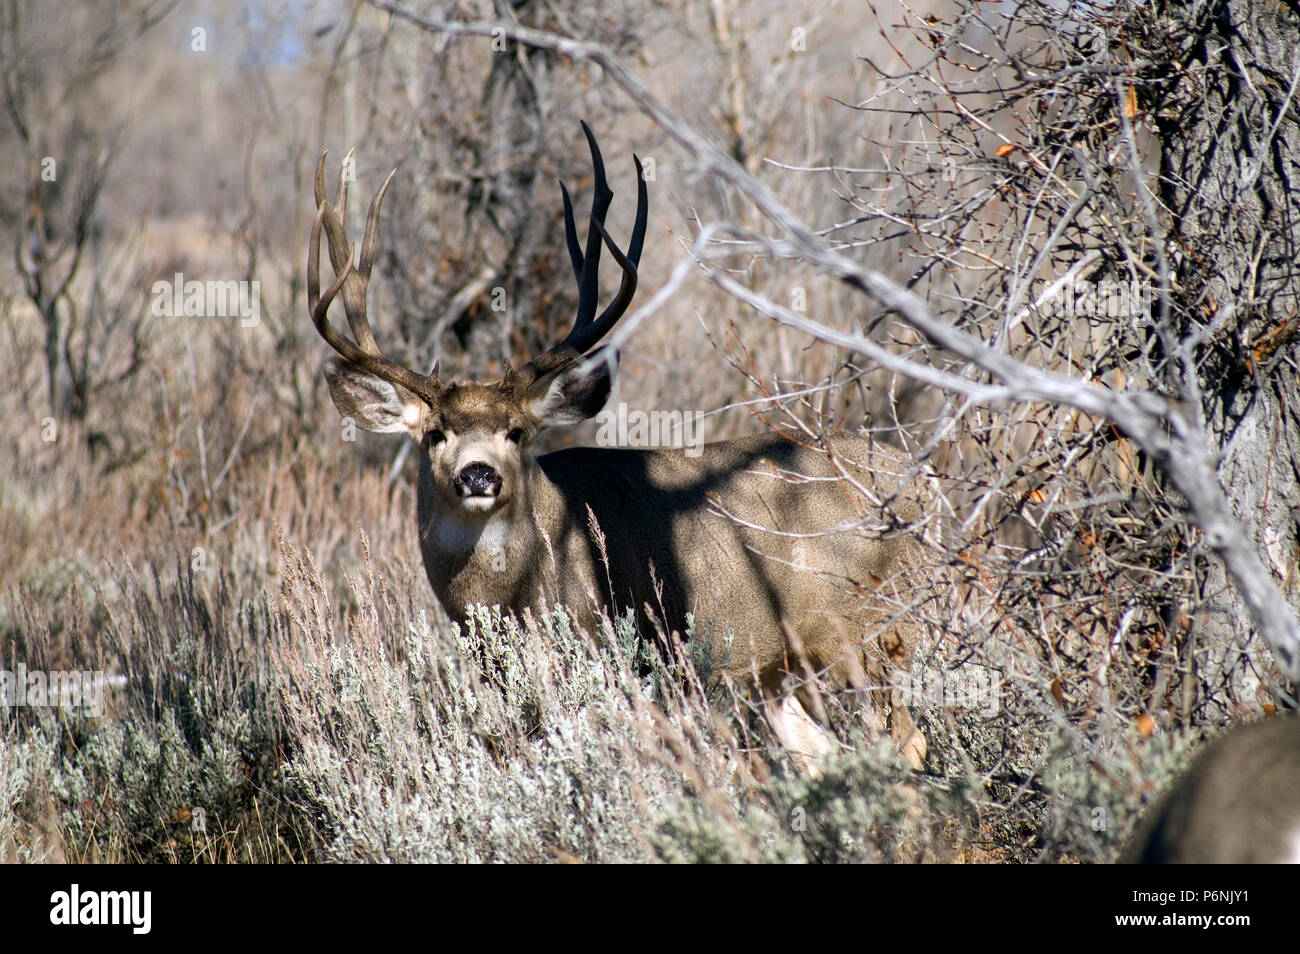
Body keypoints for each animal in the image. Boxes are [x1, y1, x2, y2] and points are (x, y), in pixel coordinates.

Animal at [306, 122, 938, 774]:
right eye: (436, 433)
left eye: (516, 431)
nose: (479, 475)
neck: (518, 593)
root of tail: (921, 479)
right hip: (782, 672)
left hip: (875, 630)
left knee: (905, 739)